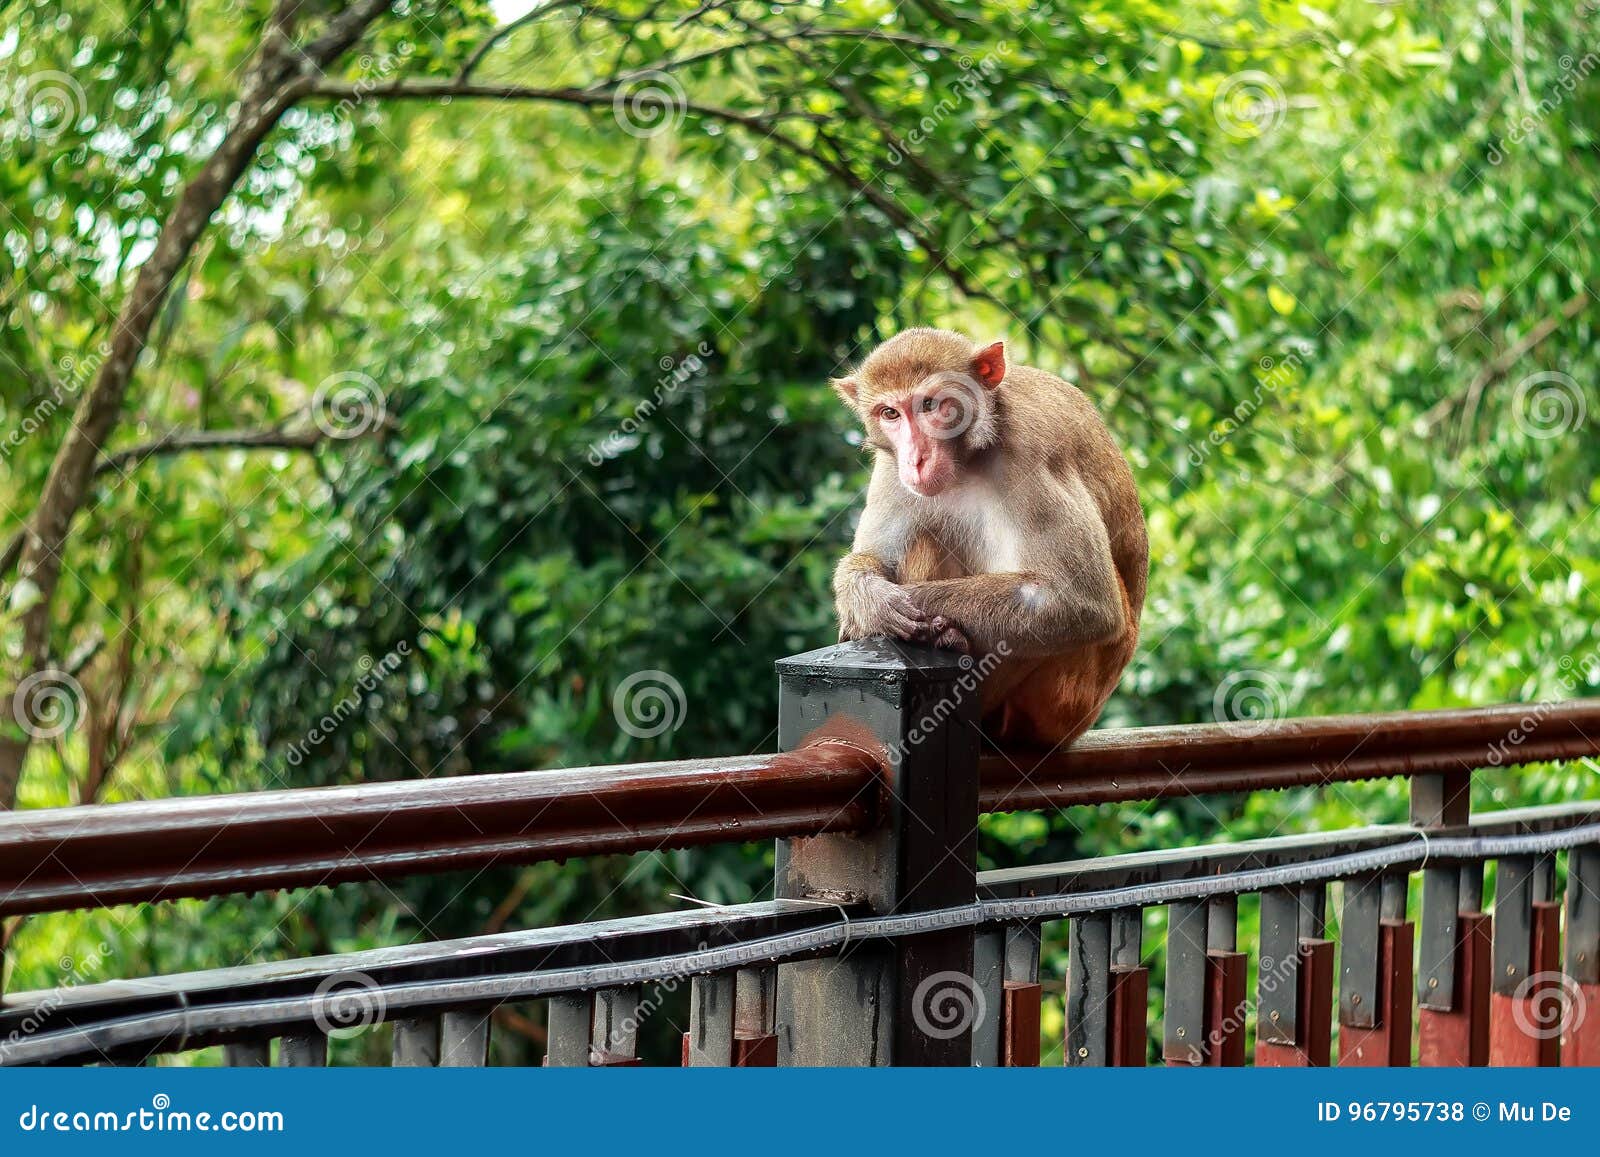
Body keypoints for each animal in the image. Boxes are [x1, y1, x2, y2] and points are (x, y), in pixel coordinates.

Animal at [831, 328, 1147, 749]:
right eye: (890, 414)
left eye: (930, 404)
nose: (915, 459)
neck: (971, 455)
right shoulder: (890, 466)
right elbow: (876, 557)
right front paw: (868, 599)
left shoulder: (1030, 453)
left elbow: (1081, 601)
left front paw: (888, 610)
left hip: (1063, 703)